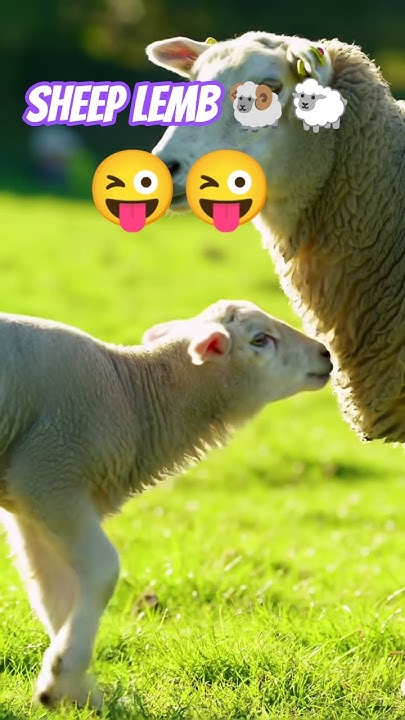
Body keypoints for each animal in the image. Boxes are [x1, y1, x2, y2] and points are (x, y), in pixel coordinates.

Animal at [0, 300, 332, 709]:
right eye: (260, 339)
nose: (325, 353)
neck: (133, 396)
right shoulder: (50, 476)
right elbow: (102, 571)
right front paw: (65, 674)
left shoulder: (31, 497)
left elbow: (52, 590)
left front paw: (72, 686)